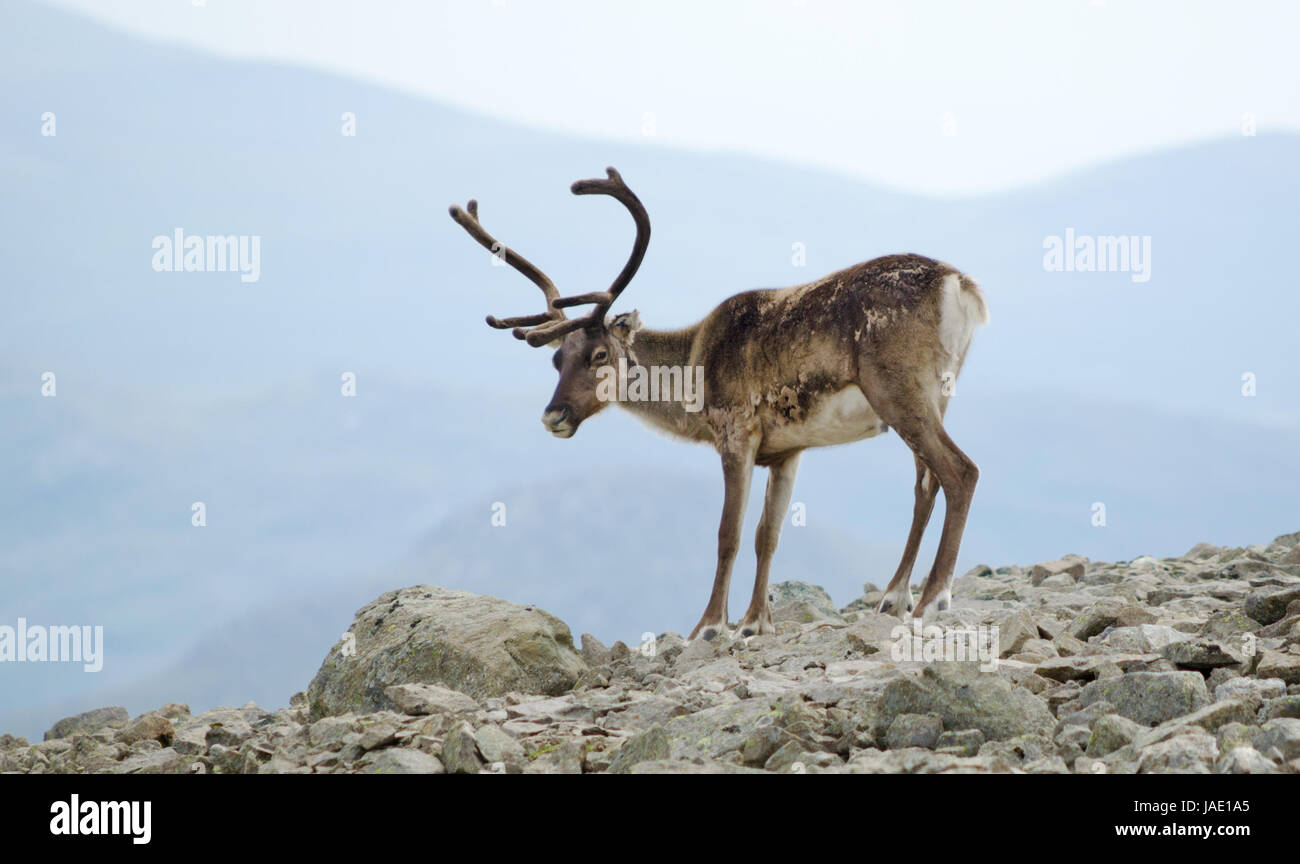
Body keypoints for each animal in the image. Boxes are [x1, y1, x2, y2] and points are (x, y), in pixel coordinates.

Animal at [449, 167, 988, 641]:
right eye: (556, 357)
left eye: (600, 354)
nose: (553, 415)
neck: (693, 365)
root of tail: (961, 286)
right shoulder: (787, 451)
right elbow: (767, 534)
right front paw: (754, 623)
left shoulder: (735, 434)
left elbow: (728, 534)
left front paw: (709, 626)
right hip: (935, 397)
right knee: (926, 483)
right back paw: (895, 595)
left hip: (900, 391)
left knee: (960, 470)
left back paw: (932, 598)